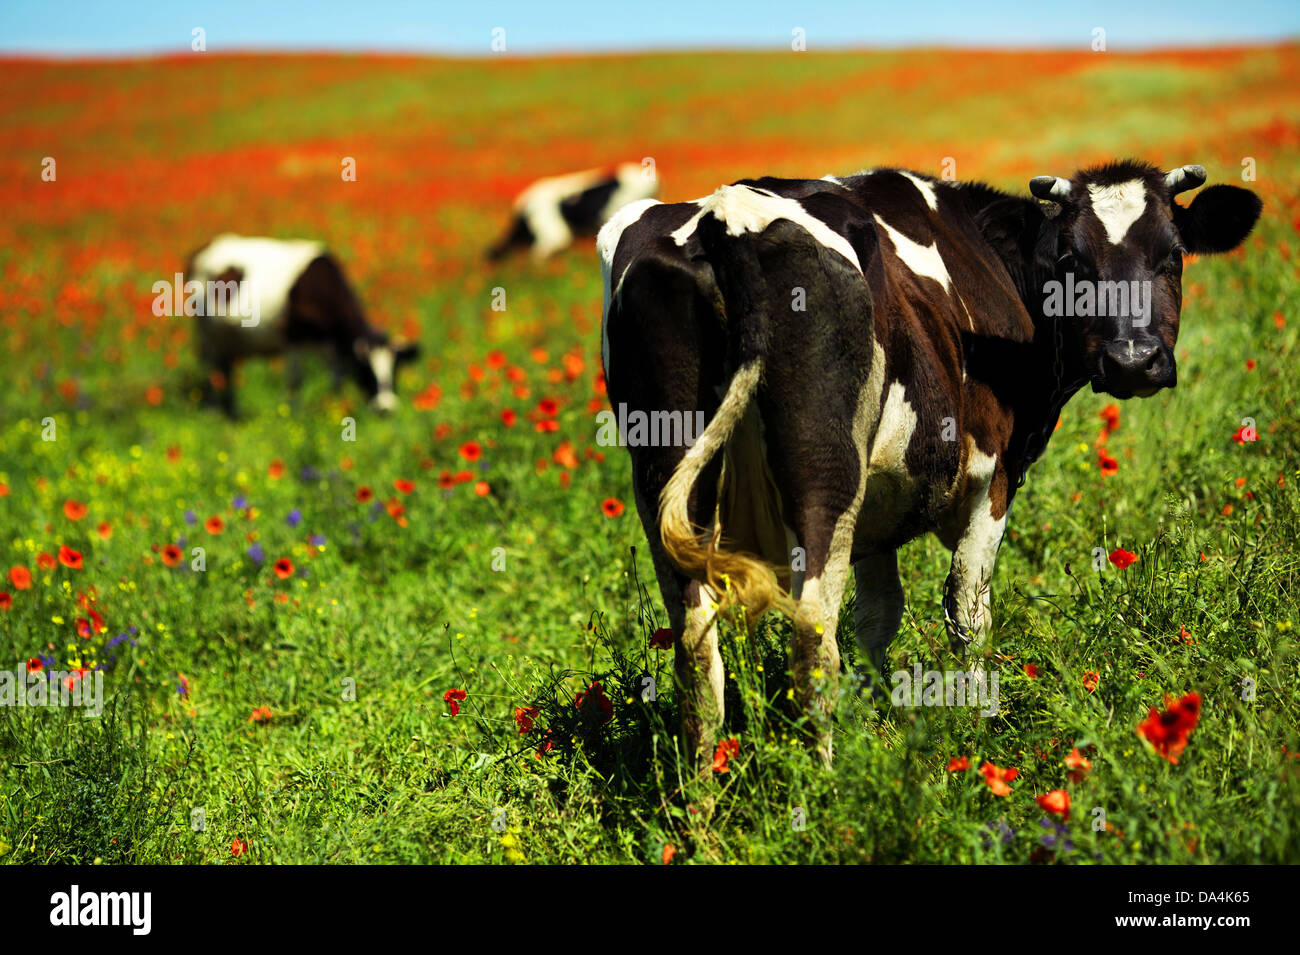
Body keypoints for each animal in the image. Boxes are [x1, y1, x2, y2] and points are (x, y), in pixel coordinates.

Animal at [187, 234, 419, 417]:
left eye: (395, 370)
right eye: (367, 371)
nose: (387, 409)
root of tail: (205, 247)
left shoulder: (333, 348)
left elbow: (336, 381)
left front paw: (335, 409)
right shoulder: (292, 337)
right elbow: (296, 381)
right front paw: (295, 415)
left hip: (226, 336)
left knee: (225, 369)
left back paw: (231, 411)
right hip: (204, 331)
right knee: (209, 368)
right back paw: (212, 411)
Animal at [598, 160, 1261, 769]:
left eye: (1173, 255)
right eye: (1073, 260)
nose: (1132, 360)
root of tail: (725, 216)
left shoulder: (877, 510)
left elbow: (878, 616)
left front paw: (875, 716)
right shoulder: (995, 474)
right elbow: (967, 605)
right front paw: (979, 721)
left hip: (665, 475)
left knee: (696, 648)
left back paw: (699, 801)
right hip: (824, 473)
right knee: (812, 638)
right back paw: (825, 790)